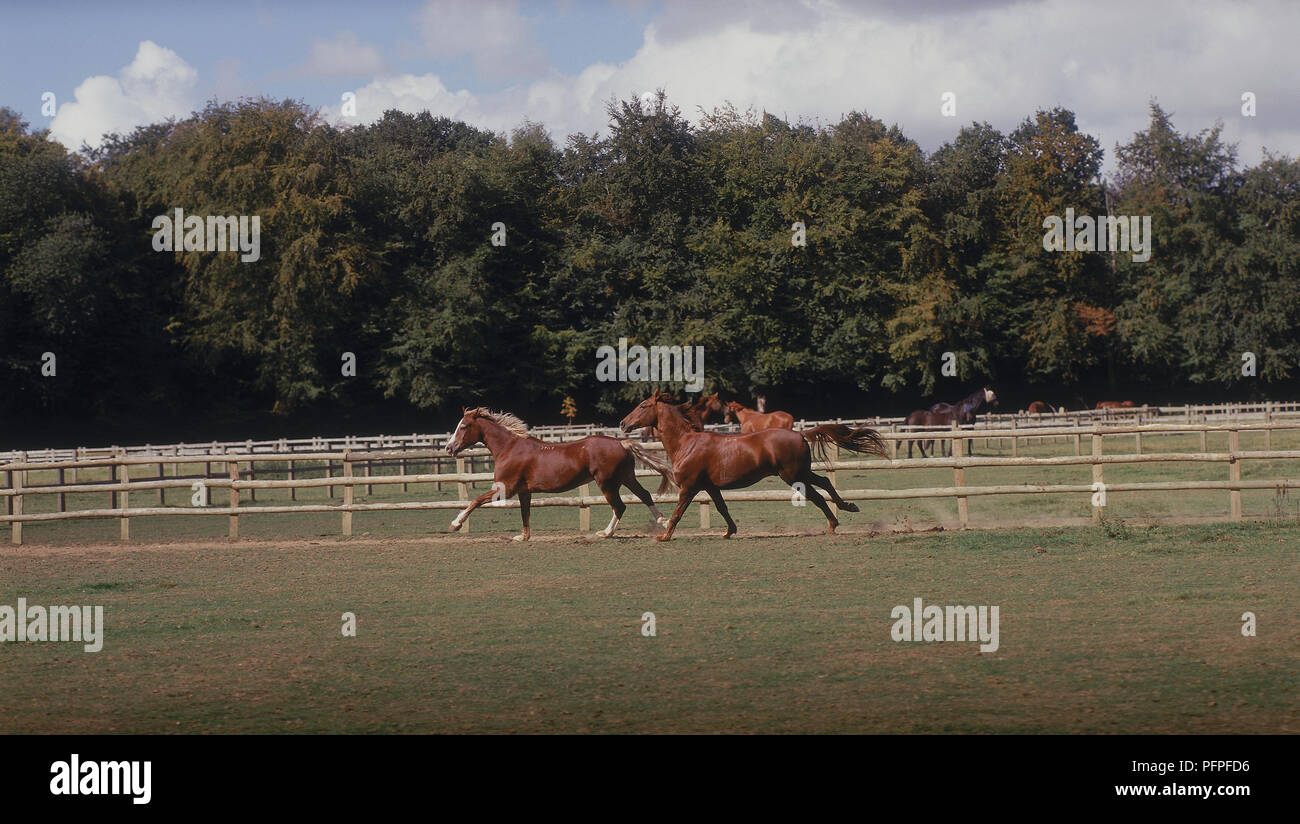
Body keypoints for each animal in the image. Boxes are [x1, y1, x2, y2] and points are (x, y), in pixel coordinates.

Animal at [444, 407, 674, 541]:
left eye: (463, 426)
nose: (448, 448)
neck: (508, 448)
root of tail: (621, 443)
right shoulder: (524, 491)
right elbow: (525, 512)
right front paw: (523, 536)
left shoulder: (505, 489)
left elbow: (475, 501)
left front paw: (455, 524)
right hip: (626, 477)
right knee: (644, 495)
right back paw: (664, 522)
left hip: (607, 482)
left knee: (620, 506)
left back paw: (606, 533)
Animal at [620, 390, 887, 540]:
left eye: (643, 406)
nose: (623, 423)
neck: (686, 443)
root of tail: (800, 434)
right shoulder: (710, 487)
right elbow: (722, 508)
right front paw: (729, 531)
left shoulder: (689, 487)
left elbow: (677, 512)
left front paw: (664, 536)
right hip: (800, 472)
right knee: (823, 484)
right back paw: (846, 509)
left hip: (792, 476)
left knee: (818, 495)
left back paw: (835, 522)